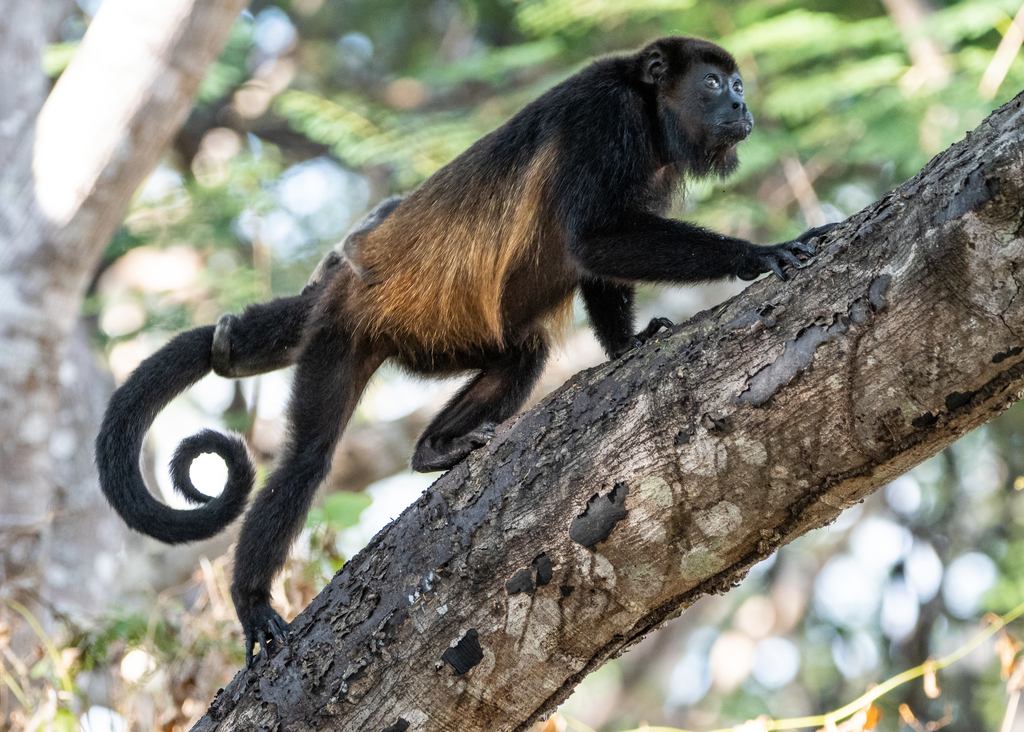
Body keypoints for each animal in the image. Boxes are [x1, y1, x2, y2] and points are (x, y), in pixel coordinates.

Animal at [96, 36, 833, 667]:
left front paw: (627, 344)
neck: (651, 115)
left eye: (738, 84)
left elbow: (595, 262)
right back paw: (252, 600)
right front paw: (757, 254)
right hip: (345, 333)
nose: (742, 106)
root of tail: (344, 286)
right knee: (307, 458)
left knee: (521, 355)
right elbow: (593, 237)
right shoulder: (604, 121)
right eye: (713, 83)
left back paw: (434, 449)